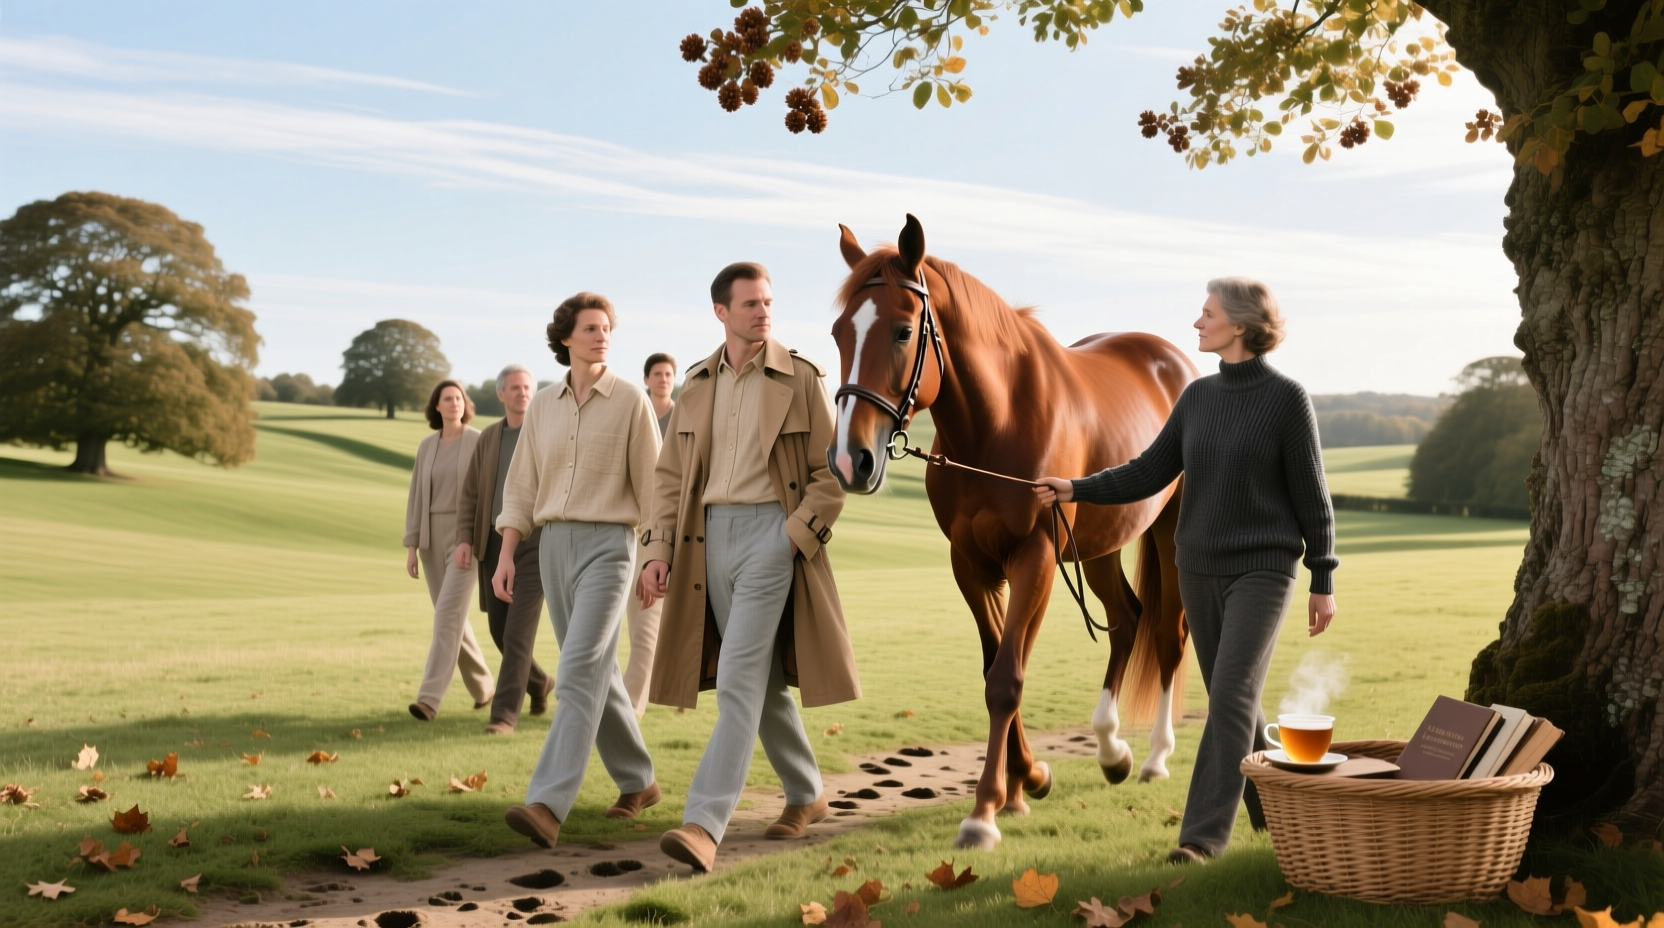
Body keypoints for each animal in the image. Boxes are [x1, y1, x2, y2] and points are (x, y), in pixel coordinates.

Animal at [826, 214, 1197, 850]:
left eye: (902, 332)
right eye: (837, 334)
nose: (852, 460)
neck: (996, 424)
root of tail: (1175, 361)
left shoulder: (1036, 557)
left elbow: (1007, 675)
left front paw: (985, 811)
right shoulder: (971, 563)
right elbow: (995, 661)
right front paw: (1026, 782)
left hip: (1165, 534)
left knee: (1167, 634)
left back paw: (1153, 758)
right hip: (1098, 546)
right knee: (1127, 619)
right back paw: (1111, 751)